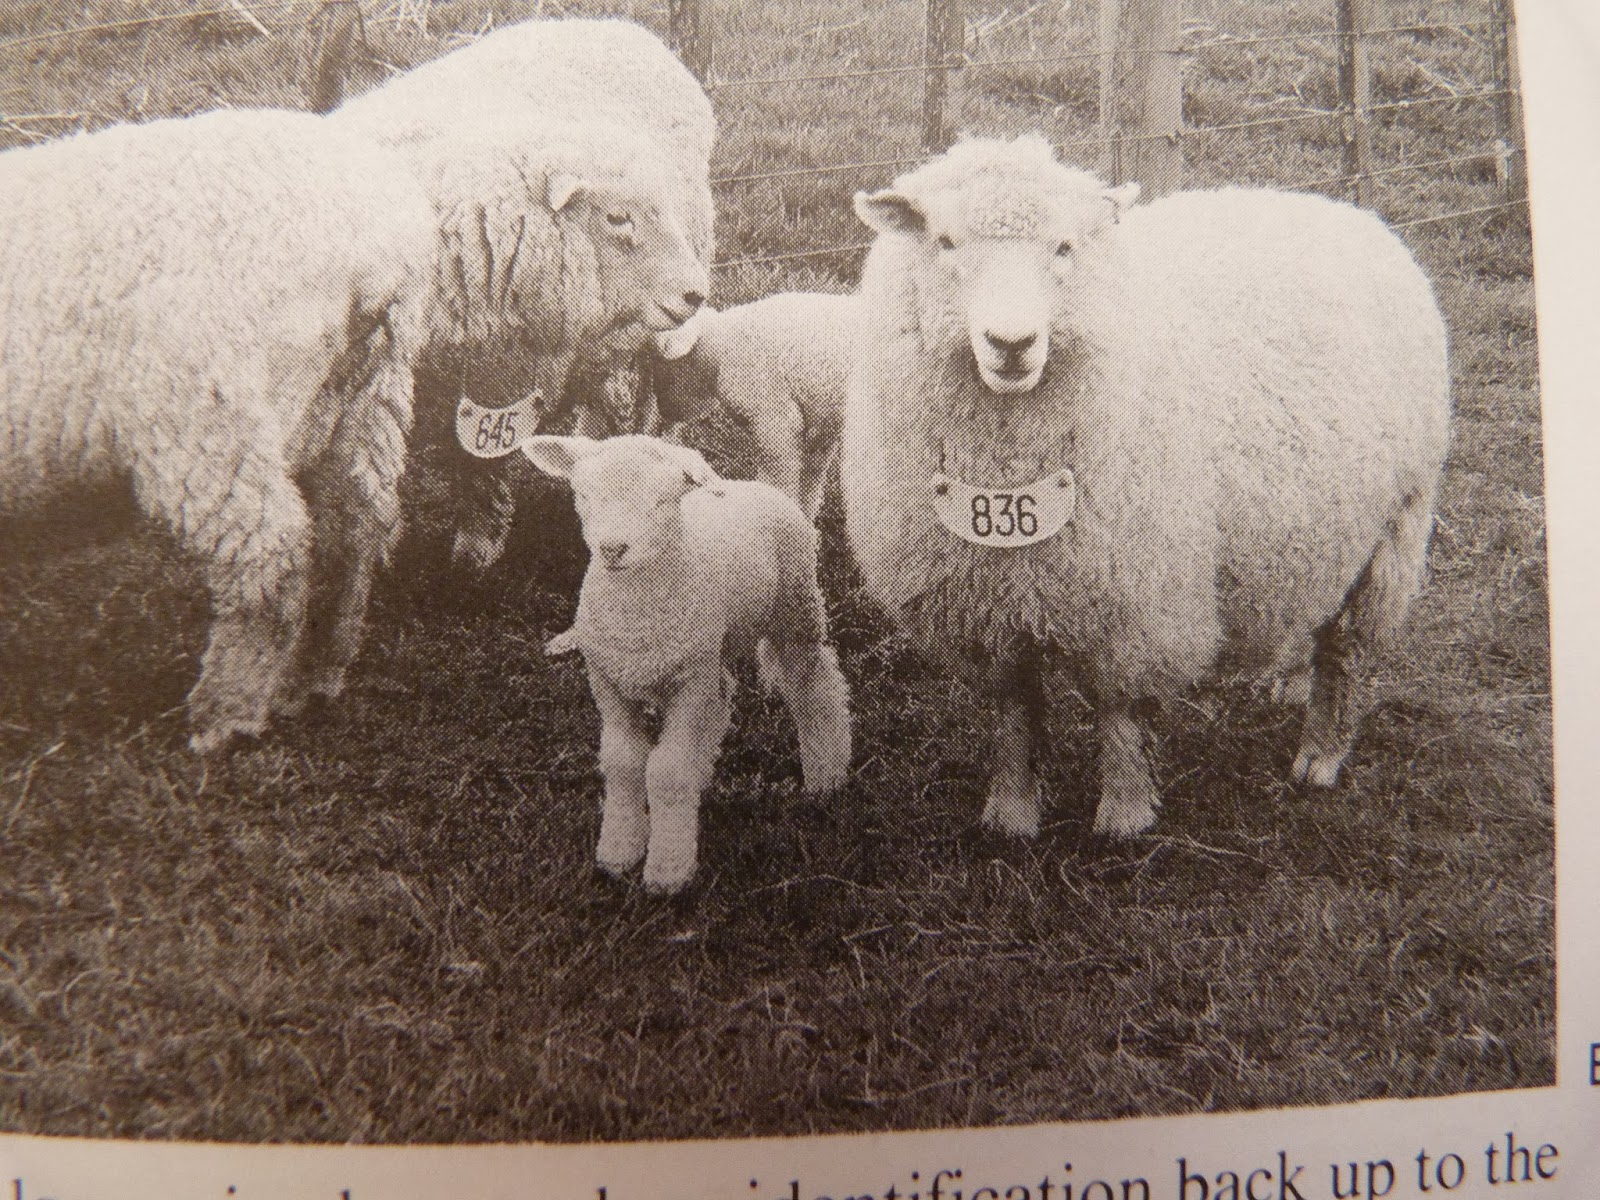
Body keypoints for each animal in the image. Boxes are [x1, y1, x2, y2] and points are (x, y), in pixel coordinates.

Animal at [0, 109, 437, 751]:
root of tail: (381, 249)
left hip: (208, 416)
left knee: (273, 554)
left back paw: (224, 713)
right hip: (365, 397)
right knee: (358, 528)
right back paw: (313, 677)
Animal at [328, 16, 716, 571]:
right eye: (618, 218)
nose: (695, 294)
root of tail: (620, 26)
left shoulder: (501, 375)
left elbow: (479, 464)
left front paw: (476, 548)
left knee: (648, 392)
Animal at [522, 434, 853, 893]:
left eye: (662, 501)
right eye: (583, 495)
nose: (612, 548)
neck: (635, 608)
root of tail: (758, 485)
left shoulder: (688, 684)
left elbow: (667, 769)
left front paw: (668, 868)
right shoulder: (608, 682)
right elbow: (624, 761)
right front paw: (620, 849)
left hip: (795, 609)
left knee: (815, 688)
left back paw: (826, 776)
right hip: (714, 645)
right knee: (724, 694)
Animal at [653, 292, 858, 521]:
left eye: (661, 364)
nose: (663, 411)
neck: (722, 348)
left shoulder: (774, 421)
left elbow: (778, 485)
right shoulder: (819, 431)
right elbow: (810, 490)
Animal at [841, 134, 1452, 839]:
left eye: (1065, 247)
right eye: (943, 242)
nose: (1012, 344)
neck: (1010, 460)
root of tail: (1348, 212)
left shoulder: (1134, 595)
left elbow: (1120, 707)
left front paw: (1124, 813)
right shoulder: (986, 599)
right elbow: (1013, 704)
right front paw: (1012, 810)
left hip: (1393, 528)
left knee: (1348, 647)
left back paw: (1321, 751)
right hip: (1316, 525)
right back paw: (1293, 680)